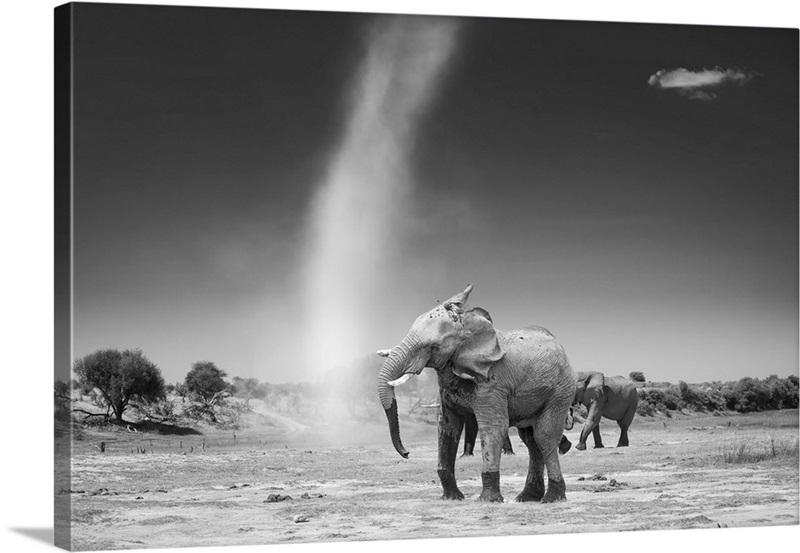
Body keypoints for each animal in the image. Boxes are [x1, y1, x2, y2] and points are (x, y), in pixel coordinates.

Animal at [377, 284, 575, 503]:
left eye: (433, 346)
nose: (406, 453)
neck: (467, 329)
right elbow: (448, 428)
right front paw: (452, 498)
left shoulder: (492, 382)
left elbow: (494, 426)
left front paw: (488, 500)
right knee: (531, 441)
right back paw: (527, 497)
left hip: (561, 390)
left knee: (544, 436)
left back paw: (552, 498)